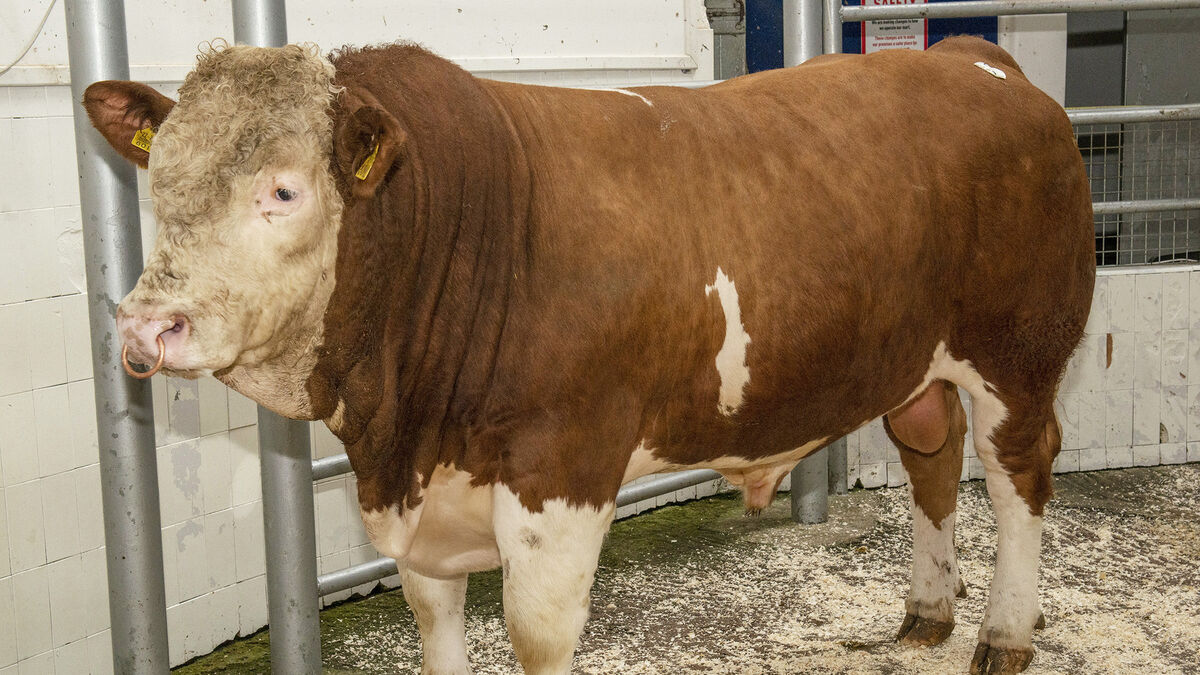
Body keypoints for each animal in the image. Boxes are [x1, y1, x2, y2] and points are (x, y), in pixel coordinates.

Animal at [83, 35, 1094, 674]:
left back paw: (1004, 633)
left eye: (285, 190)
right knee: (934, 458)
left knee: (1018, 476)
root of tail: (973, 58)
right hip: (916, 363)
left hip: (1019, 352)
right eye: (157, 177)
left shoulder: (561, 474)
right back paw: (927, 613)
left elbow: (537, 635)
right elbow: (436, 629)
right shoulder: (424, 509)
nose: (144, 326)